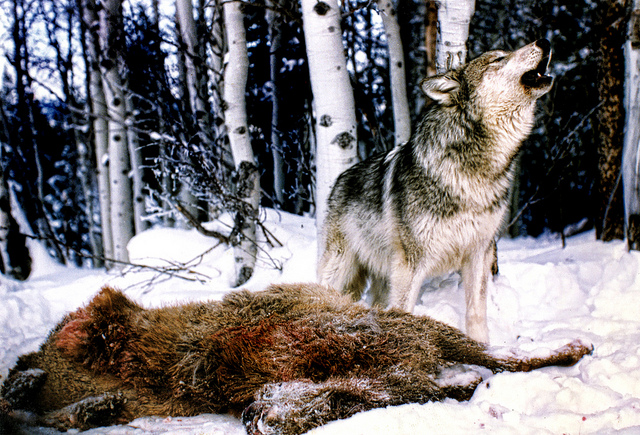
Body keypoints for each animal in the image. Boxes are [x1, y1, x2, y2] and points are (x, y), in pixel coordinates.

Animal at [318, 39, 554, 343]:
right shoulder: (411, 263)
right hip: (340, 269)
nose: (544, 41)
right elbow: (404, 312)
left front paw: (483, 349)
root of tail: (340, 180)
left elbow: (476, 313)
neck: (472, 172)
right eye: (497, 59)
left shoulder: (479, 253)